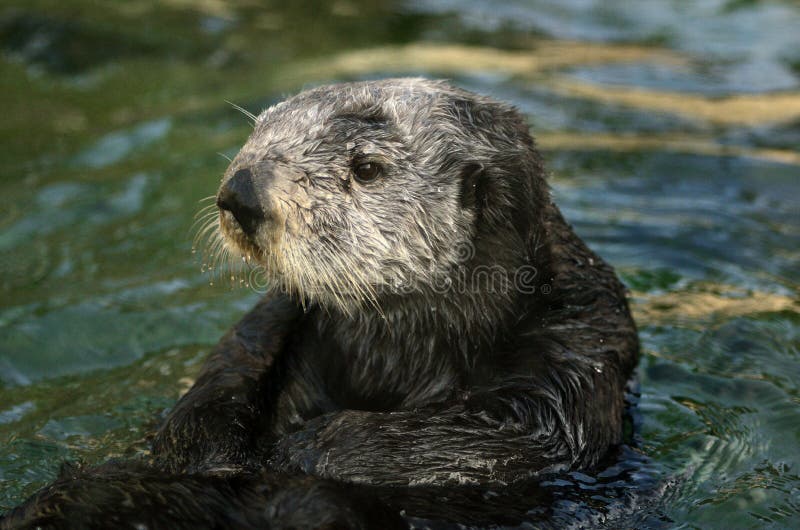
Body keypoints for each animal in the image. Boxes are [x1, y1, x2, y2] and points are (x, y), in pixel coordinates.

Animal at [2, 78, 638, 528]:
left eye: (367, 168)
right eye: (261, 129)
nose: (241, 192)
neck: (401, 350)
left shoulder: (576, 353)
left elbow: (507, 435)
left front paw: (295, 452)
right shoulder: (275, 319)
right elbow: (232, 363)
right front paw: (213, 443)